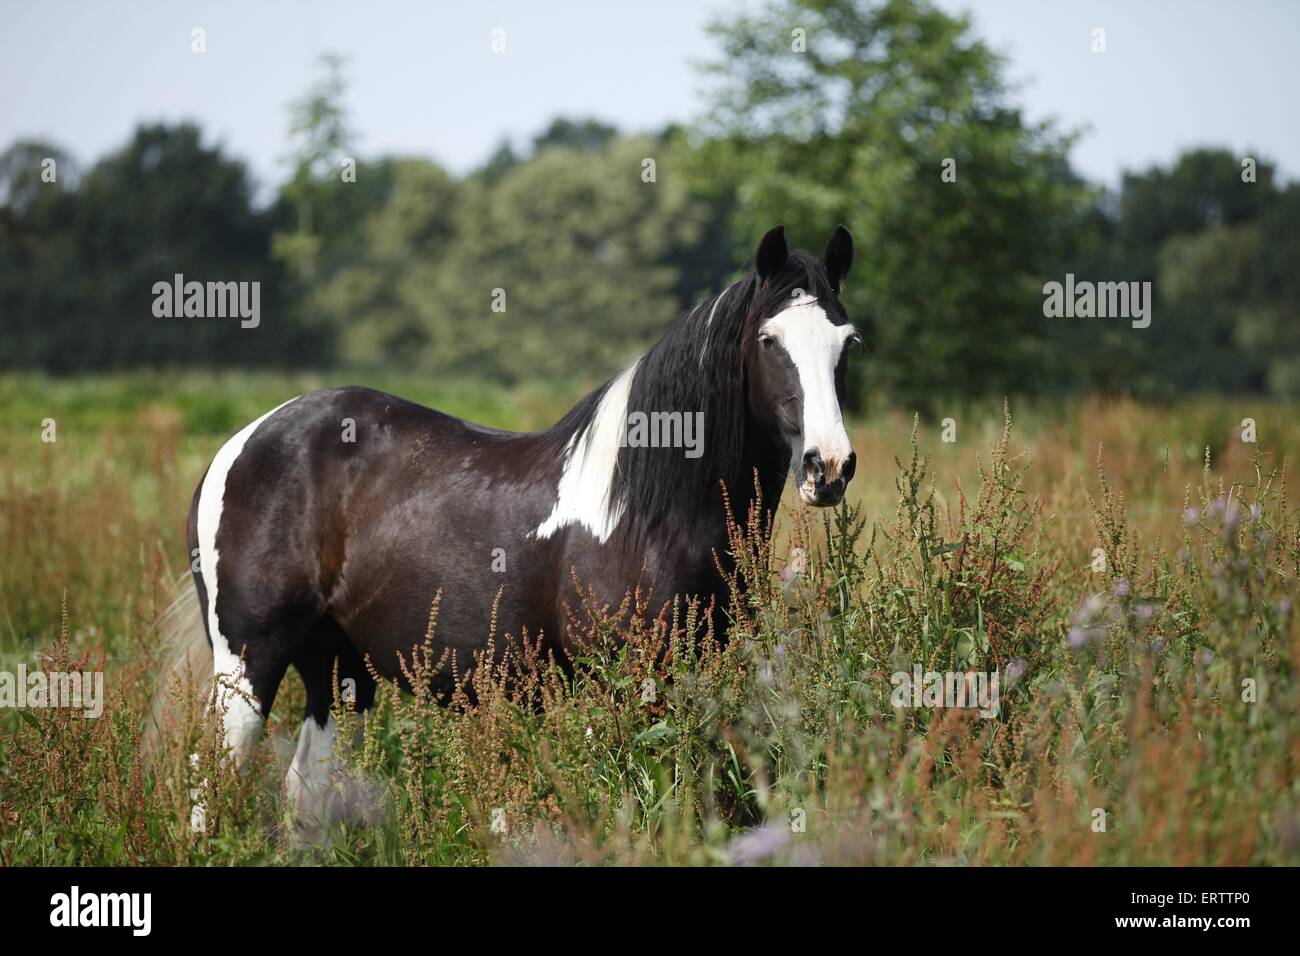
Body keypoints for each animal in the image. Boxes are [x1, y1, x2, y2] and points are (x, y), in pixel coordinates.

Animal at [179, 223, 859, 820]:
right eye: (770, 339)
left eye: (846, 343)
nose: (828, 467)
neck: (646, 515)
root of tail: (243, 442)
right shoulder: (621, 685)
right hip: (247, 662)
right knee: (210, 784)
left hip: (337, 669)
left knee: (307, 791)